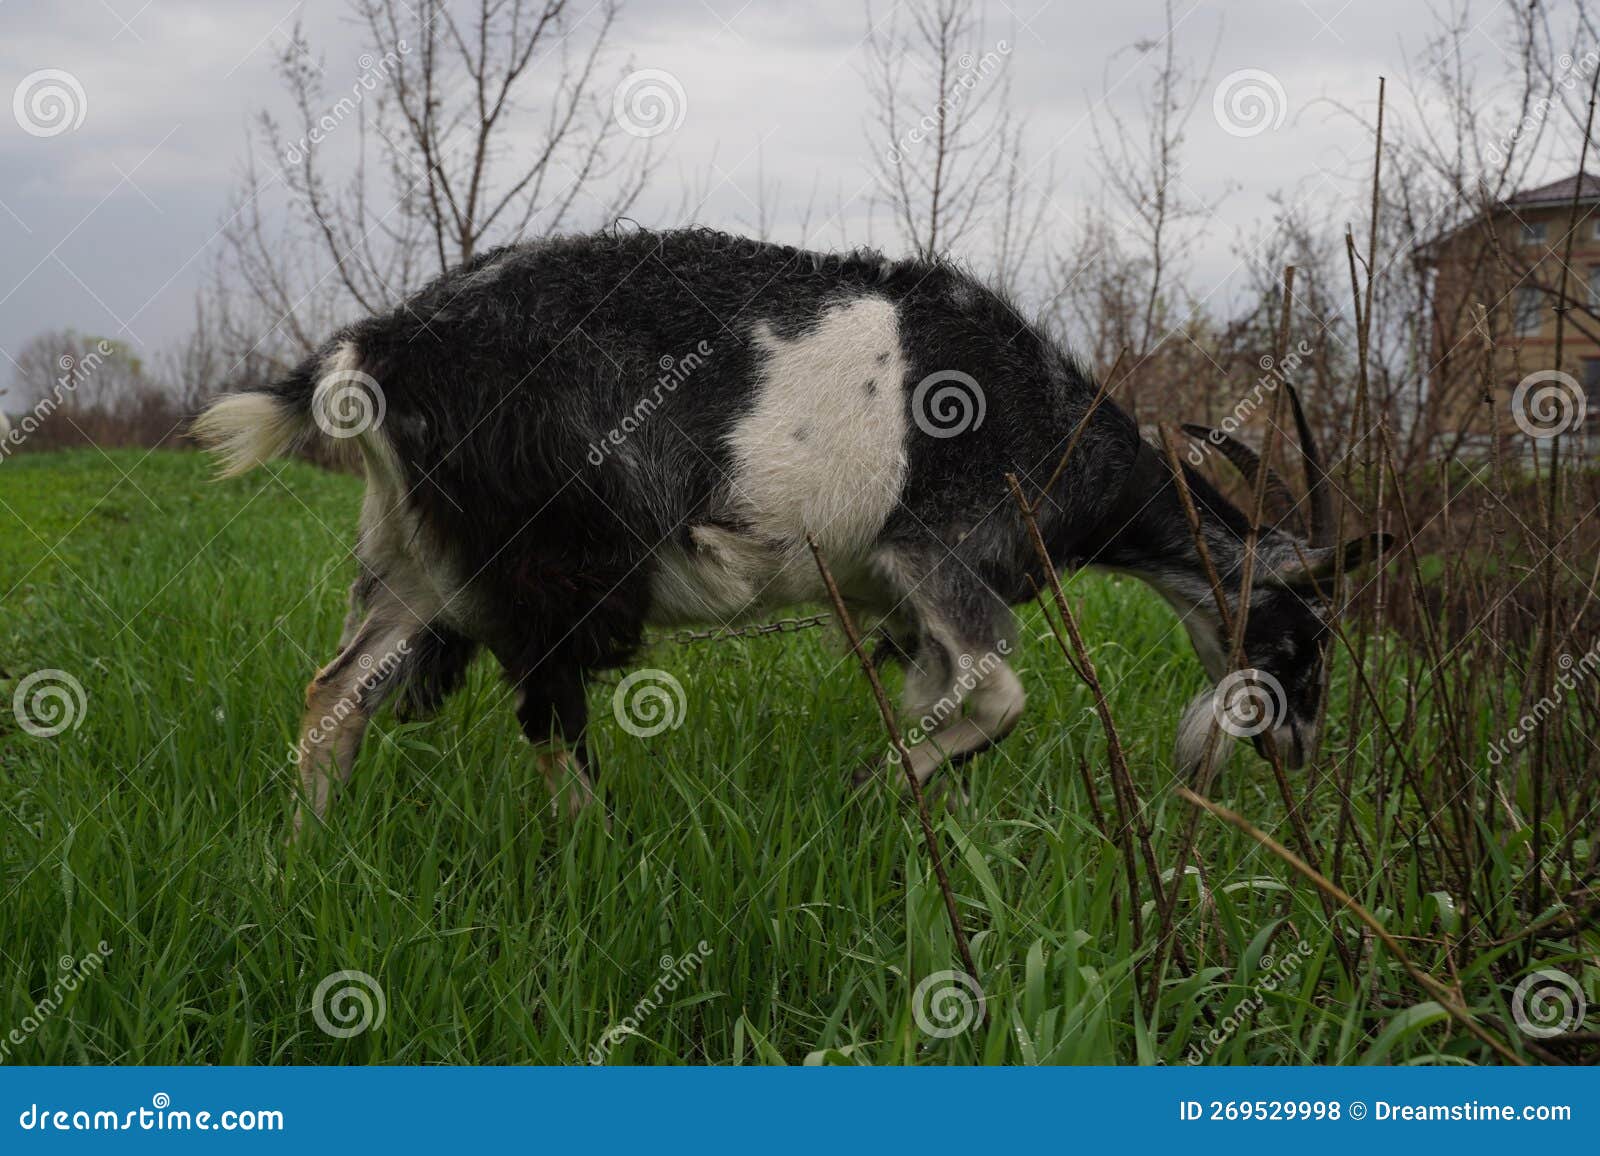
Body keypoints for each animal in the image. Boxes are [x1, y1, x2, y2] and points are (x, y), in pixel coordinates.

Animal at [193, 227, 1388, 831]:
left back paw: (306, 854)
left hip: (416, 561)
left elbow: (937, 697)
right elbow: (1001, 690)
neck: (1049, 428)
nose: (1294, 747)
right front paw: (871, 788)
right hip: (545, 558)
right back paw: (597, 852)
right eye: (1303, 635)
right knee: (548, 708)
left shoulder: (900, 604)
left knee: (335, 694)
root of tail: (370, 348)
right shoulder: (935, 552)